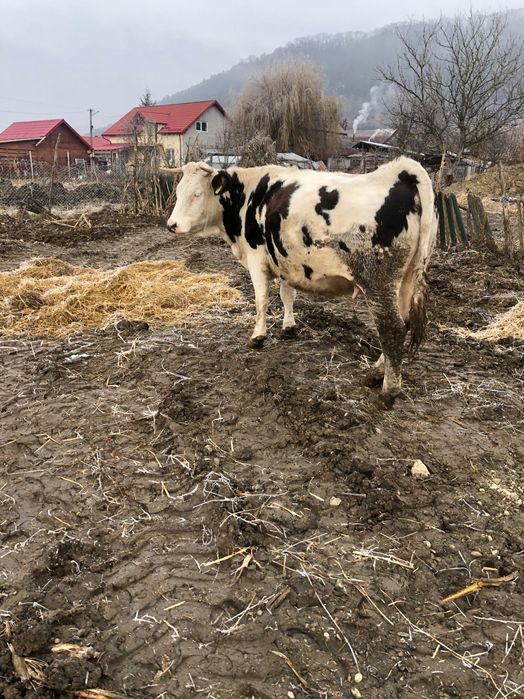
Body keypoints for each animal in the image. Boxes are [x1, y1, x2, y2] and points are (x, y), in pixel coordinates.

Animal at [166, 158, 437, 408]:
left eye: (196, 194)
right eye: (178, 191)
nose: (171, 225)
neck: (248, 194)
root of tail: (401, 170)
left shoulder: (256, 258)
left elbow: (261, 299)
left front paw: (257, 336)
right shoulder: (286, 260)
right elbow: (288, 295)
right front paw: (288, 328)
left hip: (378, 282)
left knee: (392, 329)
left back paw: (388, 391)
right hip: (405, 281)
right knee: (402, 324)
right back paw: (375, 373)